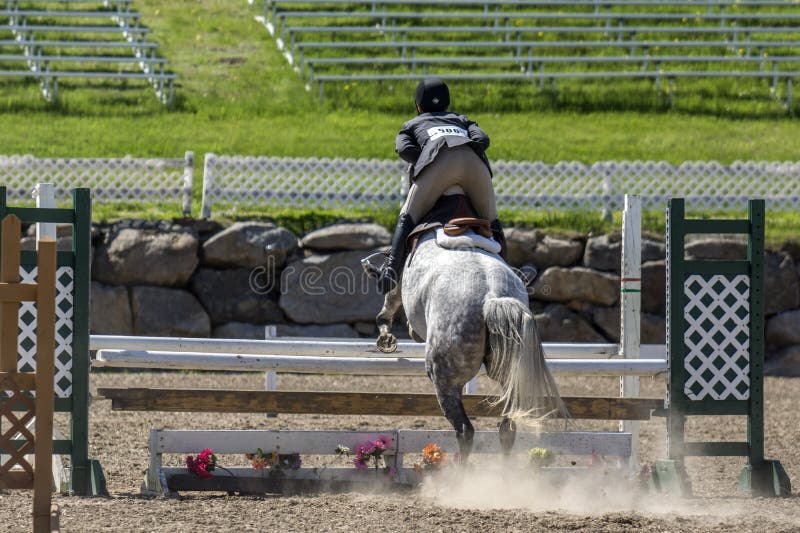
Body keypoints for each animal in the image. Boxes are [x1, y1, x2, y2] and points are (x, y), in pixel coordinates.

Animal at [367, 223, 568, 462]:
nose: (412, 332)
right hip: (510, 374)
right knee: (507, 428)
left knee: (464, 430)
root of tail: (491, 296)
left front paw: (386, 337)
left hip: (444, 377)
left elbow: (389, 302)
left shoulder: (398, 283)